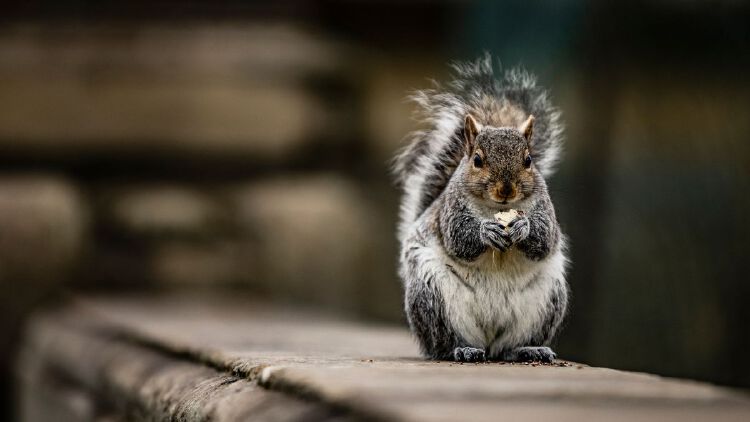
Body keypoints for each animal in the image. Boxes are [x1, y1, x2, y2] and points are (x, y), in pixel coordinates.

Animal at [394, 55, 568, 363]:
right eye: (477, 160)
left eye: (528, 160)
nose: (506, 190)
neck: (495, 208)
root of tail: (488, 340)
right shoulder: (450, 211)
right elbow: (459, 240)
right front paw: (486, 231)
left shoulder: (546, 210)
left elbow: (545, 239)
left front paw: (523, 227)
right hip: (432, 295)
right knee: (445, 342)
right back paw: (461, 349)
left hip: (547, 298)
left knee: (508, 347)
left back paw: (527, 349)